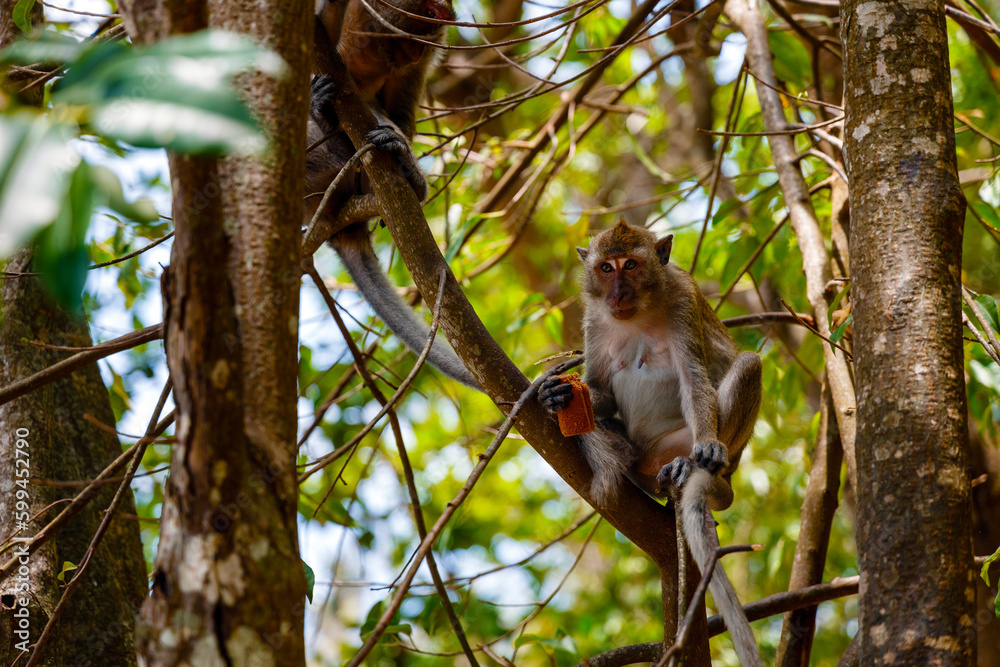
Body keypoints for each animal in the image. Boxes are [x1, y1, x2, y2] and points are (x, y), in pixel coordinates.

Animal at [307, 0, 480, 390]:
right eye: (430, 12)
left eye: (441, 22)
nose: (420, 46)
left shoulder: (420, 61)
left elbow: (400, 111)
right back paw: (326, 121)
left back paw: (404, 171)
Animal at [539, 219, 763, 665]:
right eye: (605, 268)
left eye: (631, 265)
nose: (617, 294)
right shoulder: (594, 317)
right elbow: (599, 389)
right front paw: (555, 396)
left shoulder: (682, 303)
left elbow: (694, 379)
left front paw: (707, 447)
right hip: (643, 459)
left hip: (699, 449)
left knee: (748, 364)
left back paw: (692, 467)